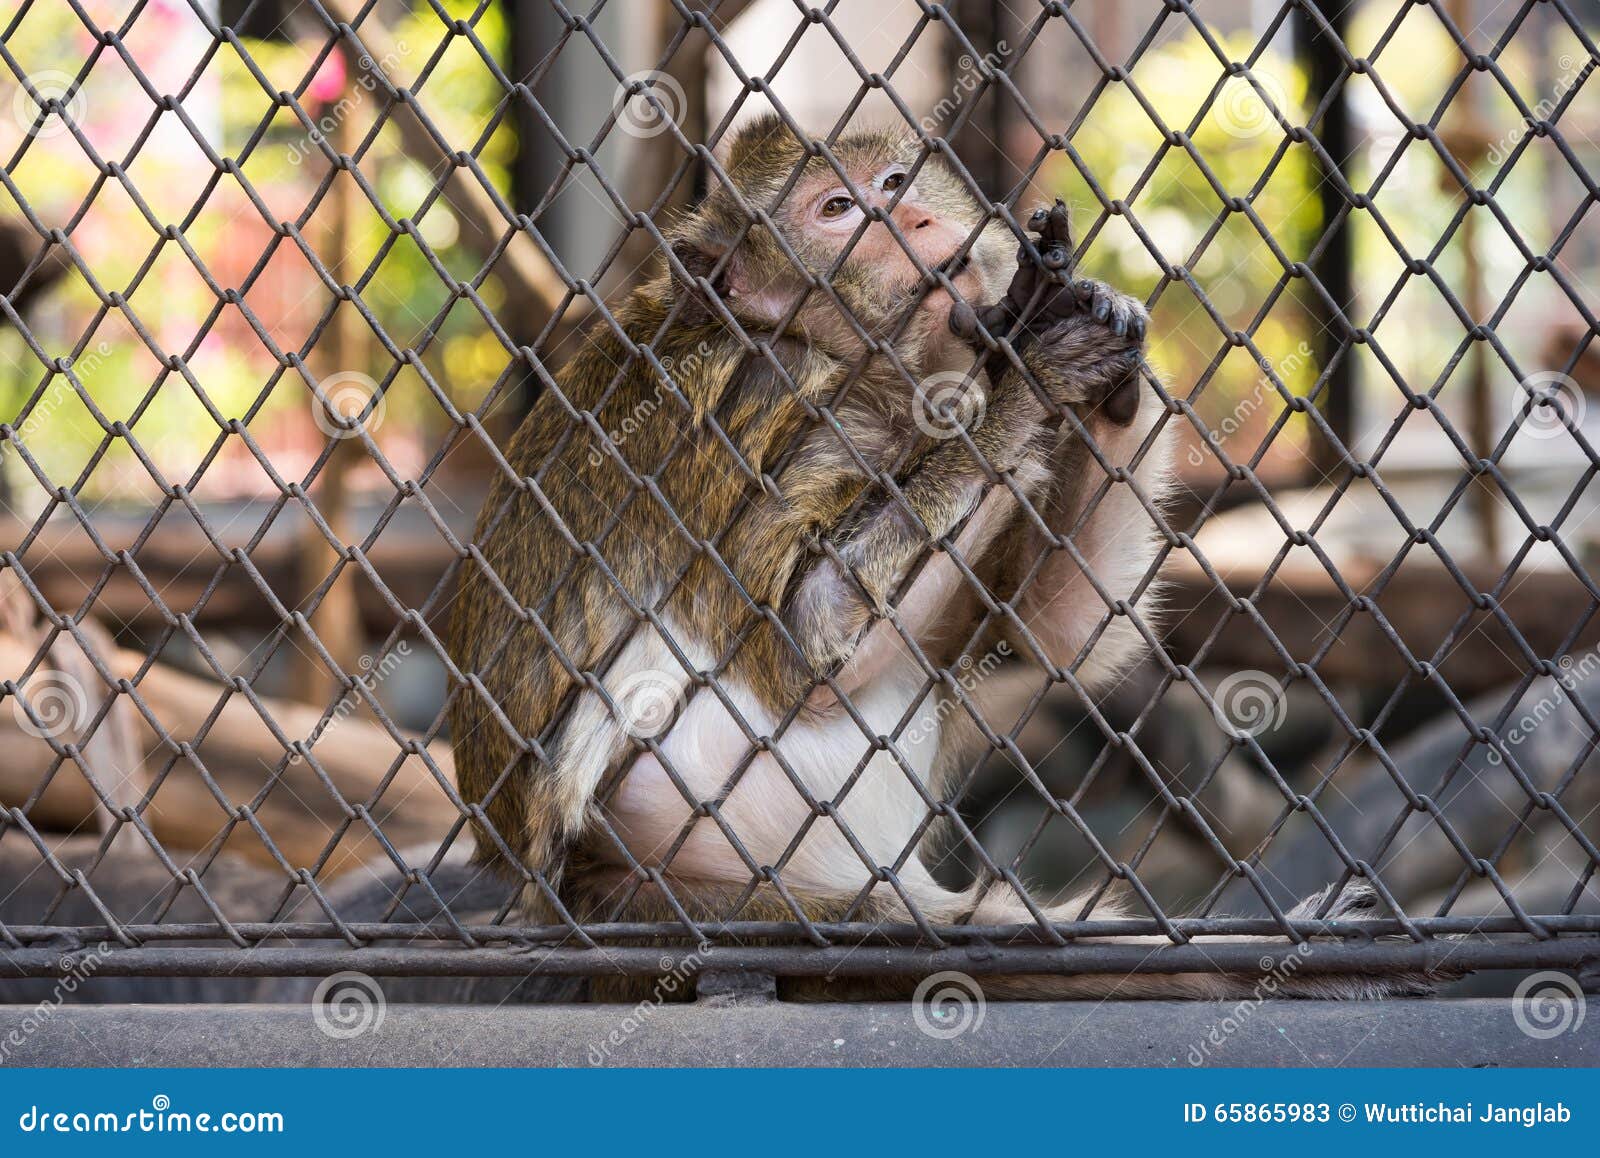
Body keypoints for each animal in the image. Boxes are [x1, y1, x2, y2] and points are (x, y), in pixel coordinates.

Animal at [447, 114, 1442, 1001]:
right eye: (837, 209)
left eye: (894, 184)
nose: (919, 221)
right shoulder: (769, 393)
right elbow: (805, 641)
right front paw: (1029, 377)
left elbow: (1049, 634)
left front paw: (1099, 330)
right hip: (691, 906)